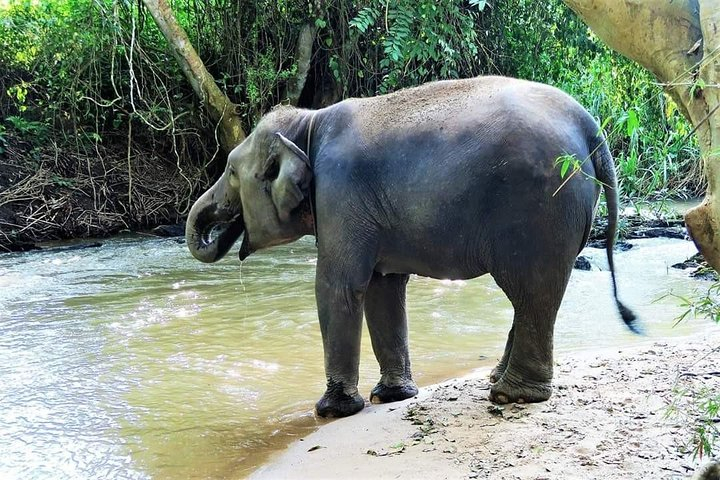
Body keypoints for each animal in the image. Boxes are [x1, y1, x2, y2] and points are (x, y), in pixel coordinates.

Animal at [185, 76, 638, 418]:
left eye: (230, 170)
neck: (308, 122)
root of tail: (589, 125)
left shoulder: (340, 194)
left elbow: (338, 287)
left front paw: (332, 411)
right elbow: (382, 288)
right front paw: (391, 397)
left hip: (540, 206)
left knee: (533, 290)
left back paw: (510, 395)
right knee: (531, 296)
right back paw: (497, 381)